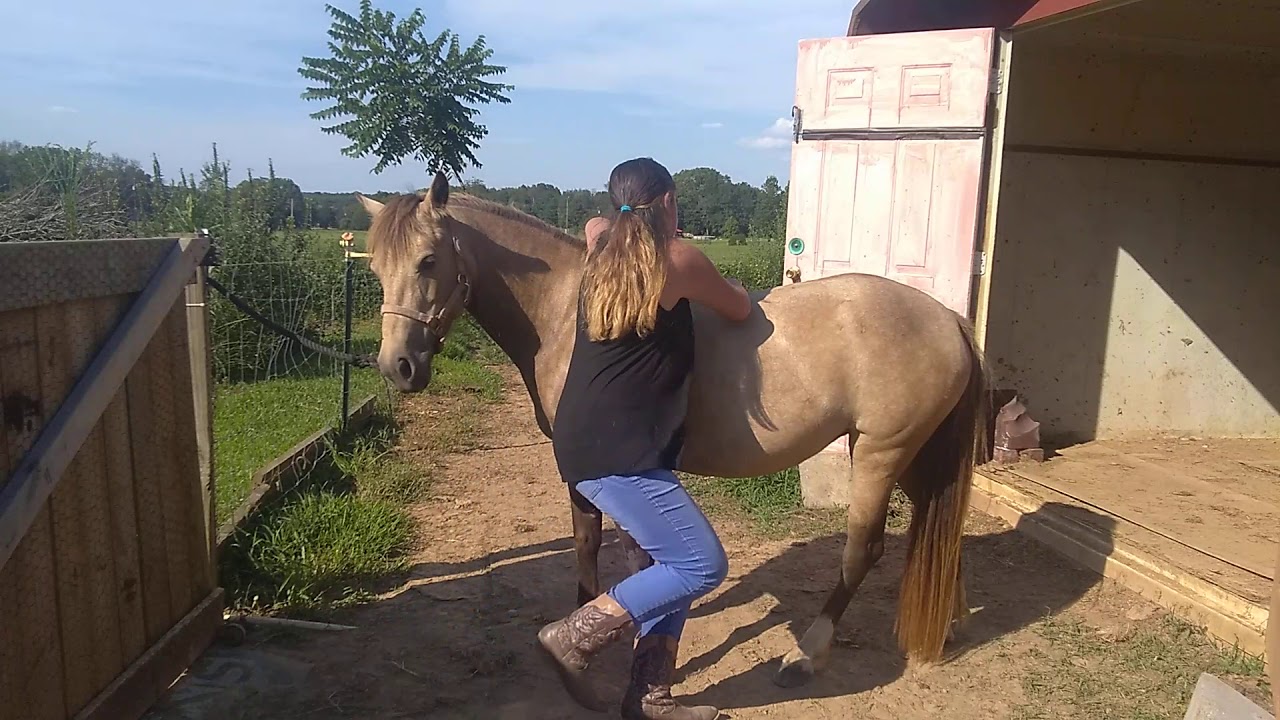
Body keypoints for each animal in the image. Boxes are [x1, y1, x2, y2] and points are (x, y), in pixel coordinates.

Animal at [357, 172, 991, 688]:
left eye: (428, 260)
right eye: (374, 268)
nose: (397, 366)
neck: (568, 308)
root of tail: (948, 319)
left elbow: (602, 549)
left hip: (883, 453)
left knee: (864, 551)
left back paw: (807, 655)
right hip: (910, 454)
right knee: (939, 519)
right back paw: (953, 621)